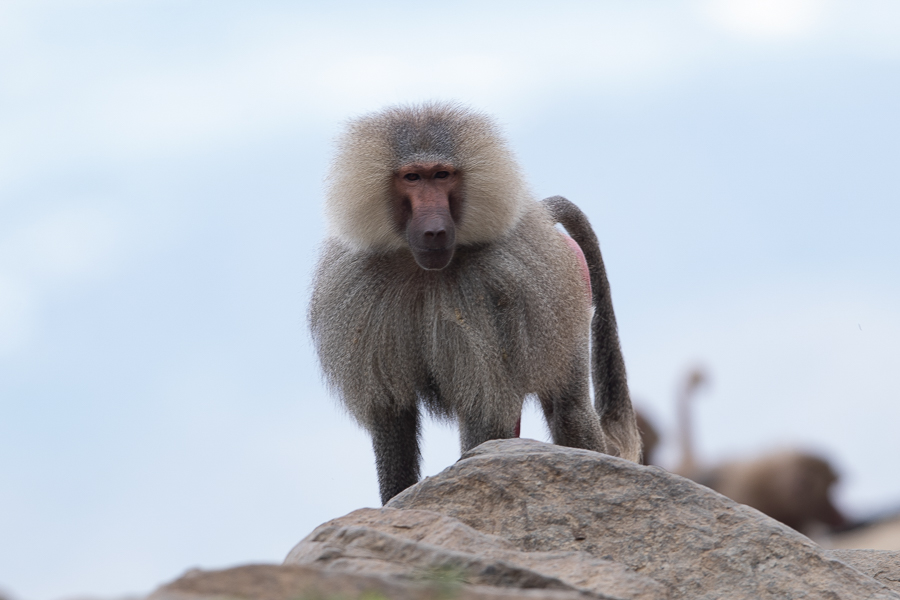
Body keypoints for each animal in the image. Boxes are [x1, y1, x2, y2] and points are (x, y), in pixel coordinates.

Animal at [308, 102, 640, 504]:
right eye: (412, 177)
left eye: (442, 175)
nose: (435, 231)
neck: (425, 271)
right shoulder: (359, 295)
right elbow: (392, 414)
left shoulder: (496, 292)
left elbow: (483, 410)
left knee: (569, 408)